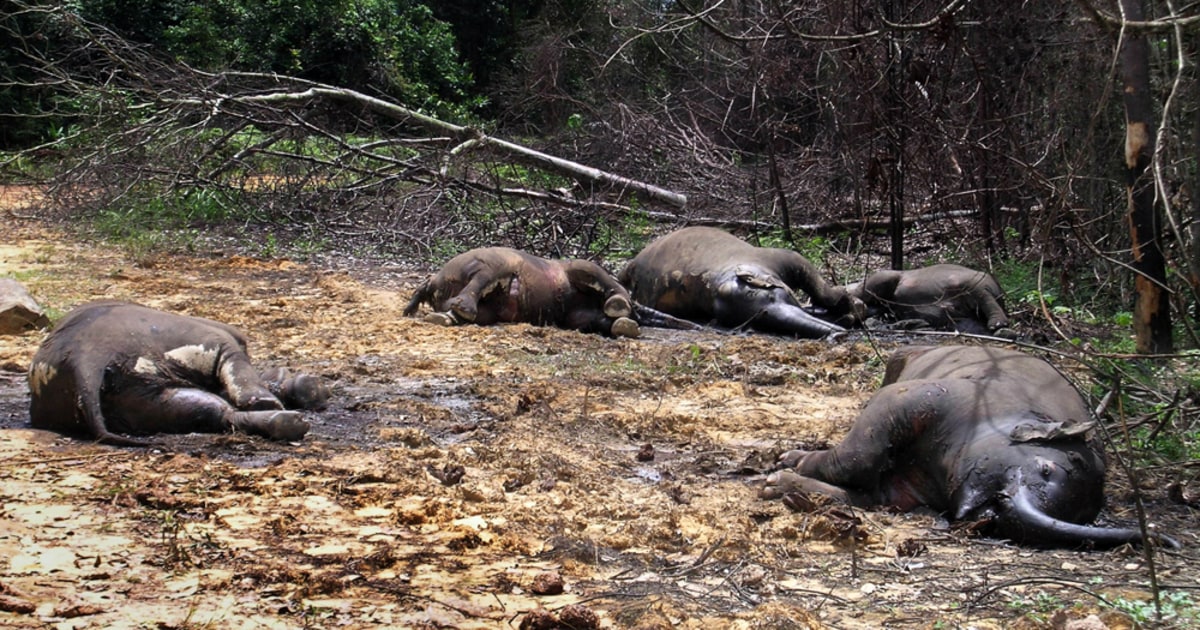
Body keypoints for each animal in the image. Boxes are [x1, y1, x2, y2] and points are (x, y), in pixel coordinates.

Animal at [27, 301, 328, 446]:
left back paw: (287, 422)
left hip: (138, 400)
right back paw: (279, 411)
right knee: (231, 377)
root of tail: (86, 357)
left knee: (210, 410)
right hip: (201, 337)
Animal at [617, 226, 863, 338]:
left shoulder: (782, 258)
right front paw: (847, 314)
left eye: (771, 296)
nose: (838, 334)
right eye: (761, 318)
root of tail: (630, 265)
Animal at [761, 344, 1178, 548]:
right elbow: (860, 467)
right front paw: (789, 465)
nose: (1001, 508)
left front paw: (787, 473)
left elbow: (859, 472)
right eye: (1045, 468)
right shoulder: (914, 401)